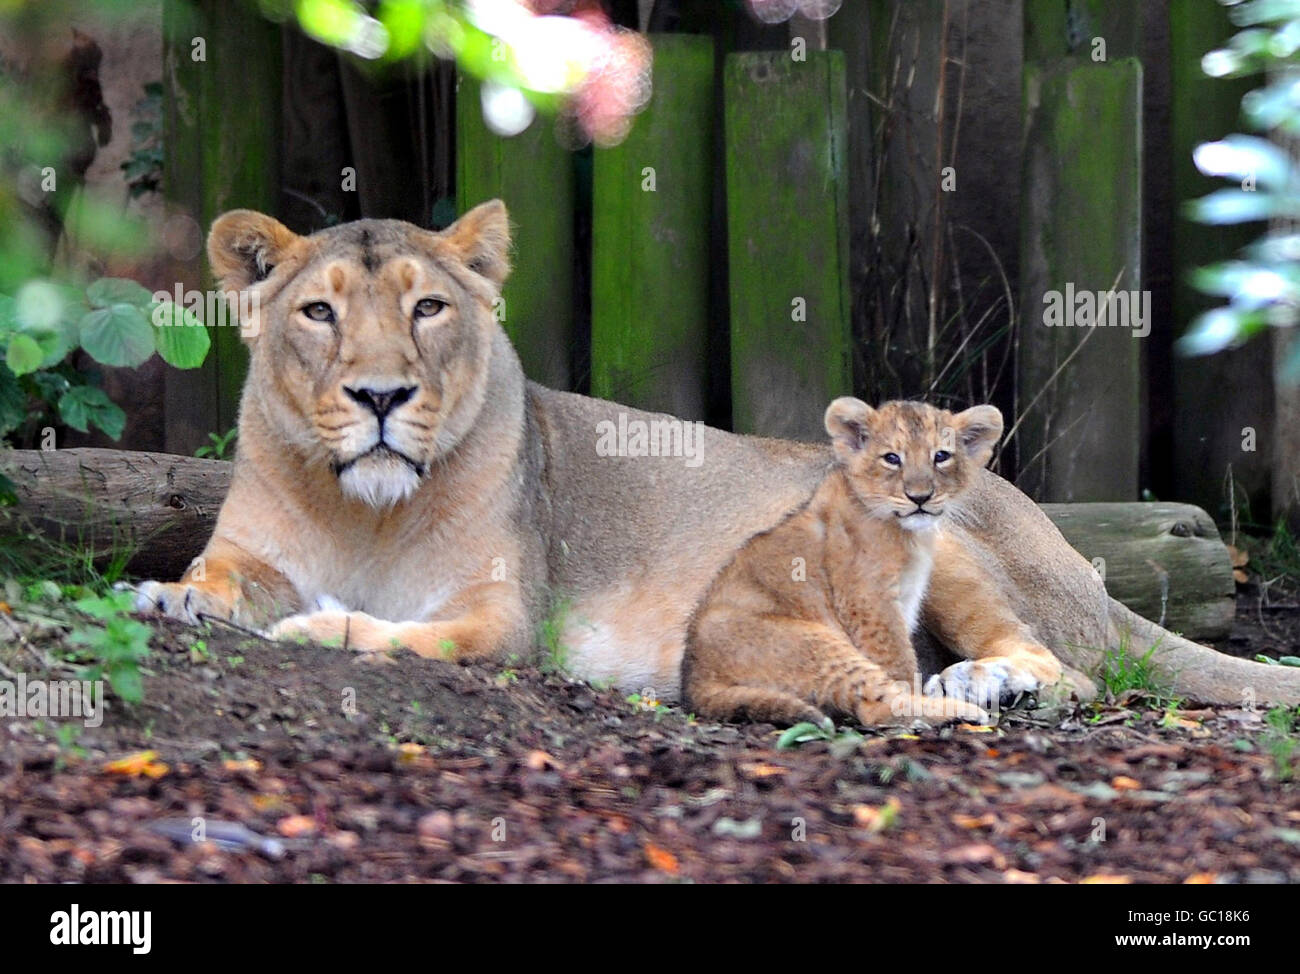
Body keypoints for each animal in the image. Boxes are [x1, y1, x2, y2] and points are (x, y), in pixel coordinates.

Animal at [683, 397, 1034, 726]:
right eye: (892, 458)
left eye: (941, 456)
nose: (919, 497)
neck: (907, 534)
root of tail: (696, 682)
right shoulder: (869, 601)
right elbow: (897, 661)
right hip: (814, 641)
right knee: (875, 707)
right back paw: (957, 711)